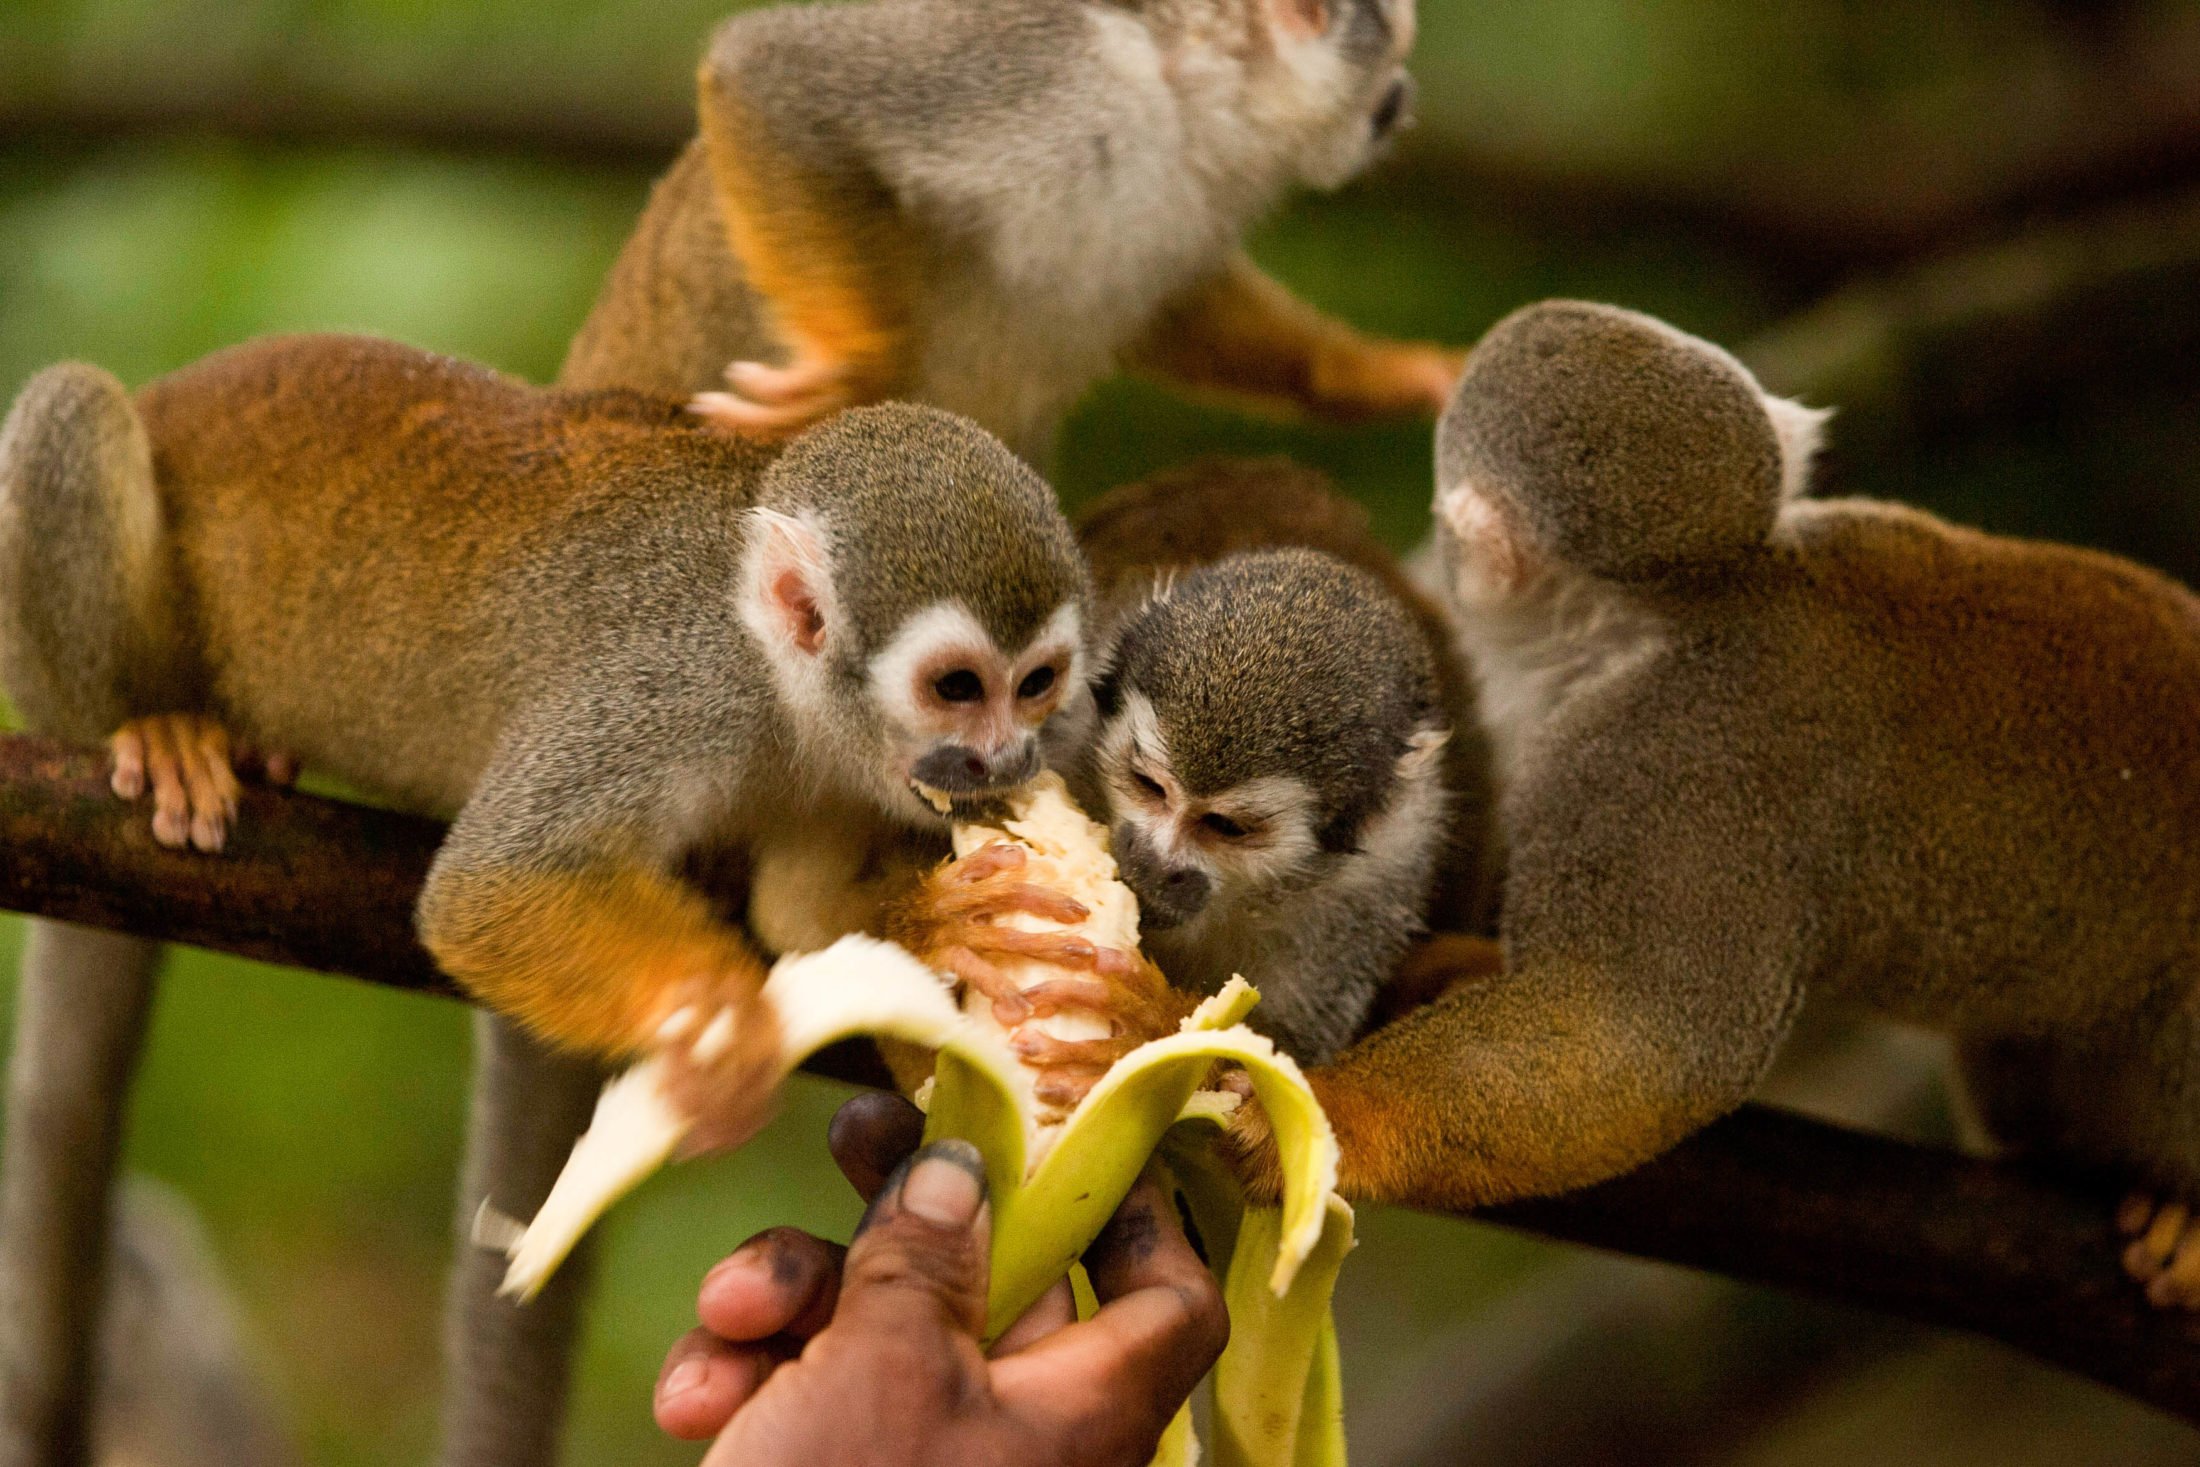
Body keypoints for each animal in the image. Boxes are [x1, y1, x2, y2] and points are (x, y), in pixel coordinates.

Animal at [0, 336, 1131, 1463]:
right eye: (956, 687)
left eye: (1036, 683)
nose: (1008, 758)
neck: (776, 679)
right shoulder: (665, 689)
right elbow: (485, 890)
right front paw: (720, 1019)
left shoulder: (830, 767)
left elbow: (798, 915)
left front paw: (923, 926)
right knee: (72, 410)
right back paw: (155, 727)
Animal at [558, 0, 1462, 467]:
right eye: (1391, 72)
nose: (1407, 101)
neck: (1182, 91)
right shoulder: (1044, 61)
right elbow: (778, 74)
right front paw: (858, 370)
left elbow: (1174, 305)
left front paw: (1362, 372)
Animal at [1224, 298, 2200, 1310]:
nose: (1443, 560)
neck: (1688, 608)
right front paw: (1466, 965)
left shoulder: (1663, 756)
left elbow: (1644, 1041)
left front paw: (1331, 1116)